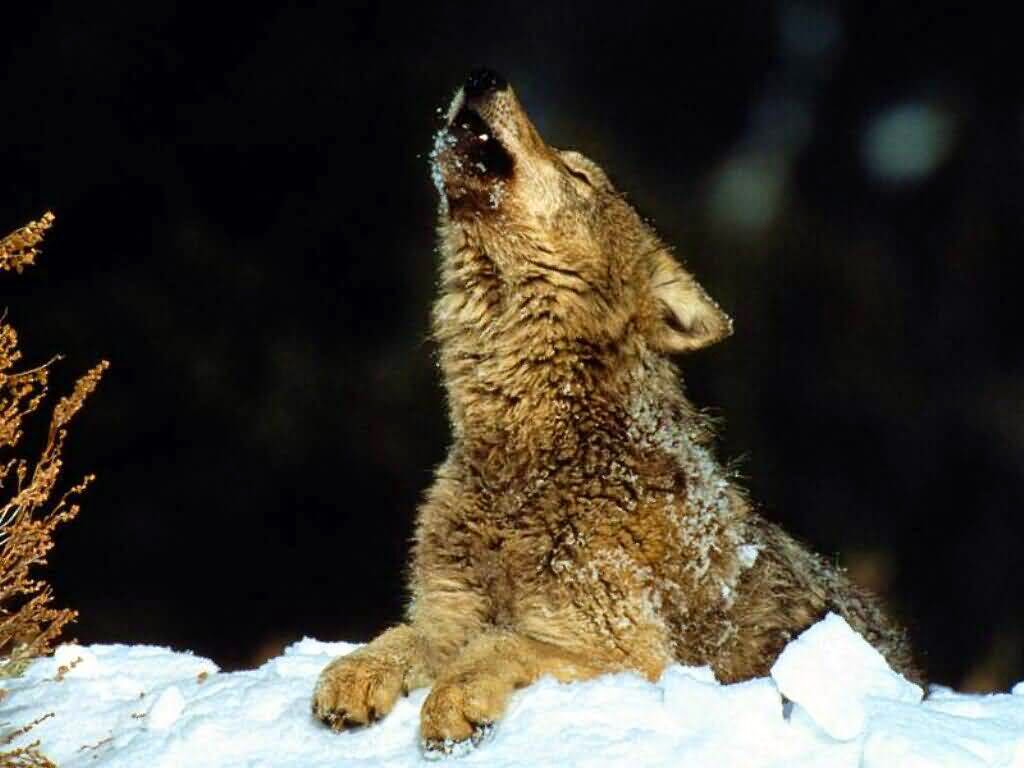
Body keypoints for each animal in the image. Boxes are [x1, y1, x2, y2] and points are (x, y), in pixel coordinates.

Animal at [313, 69, 921, 752]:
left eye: (579, 176)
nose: (484, 76)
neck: (528, 460)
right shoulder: (448, 613)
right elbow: (403, 635)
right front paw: (355, 673)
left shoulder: (626, 651)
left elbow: (501, 643)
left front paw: (453, 703)